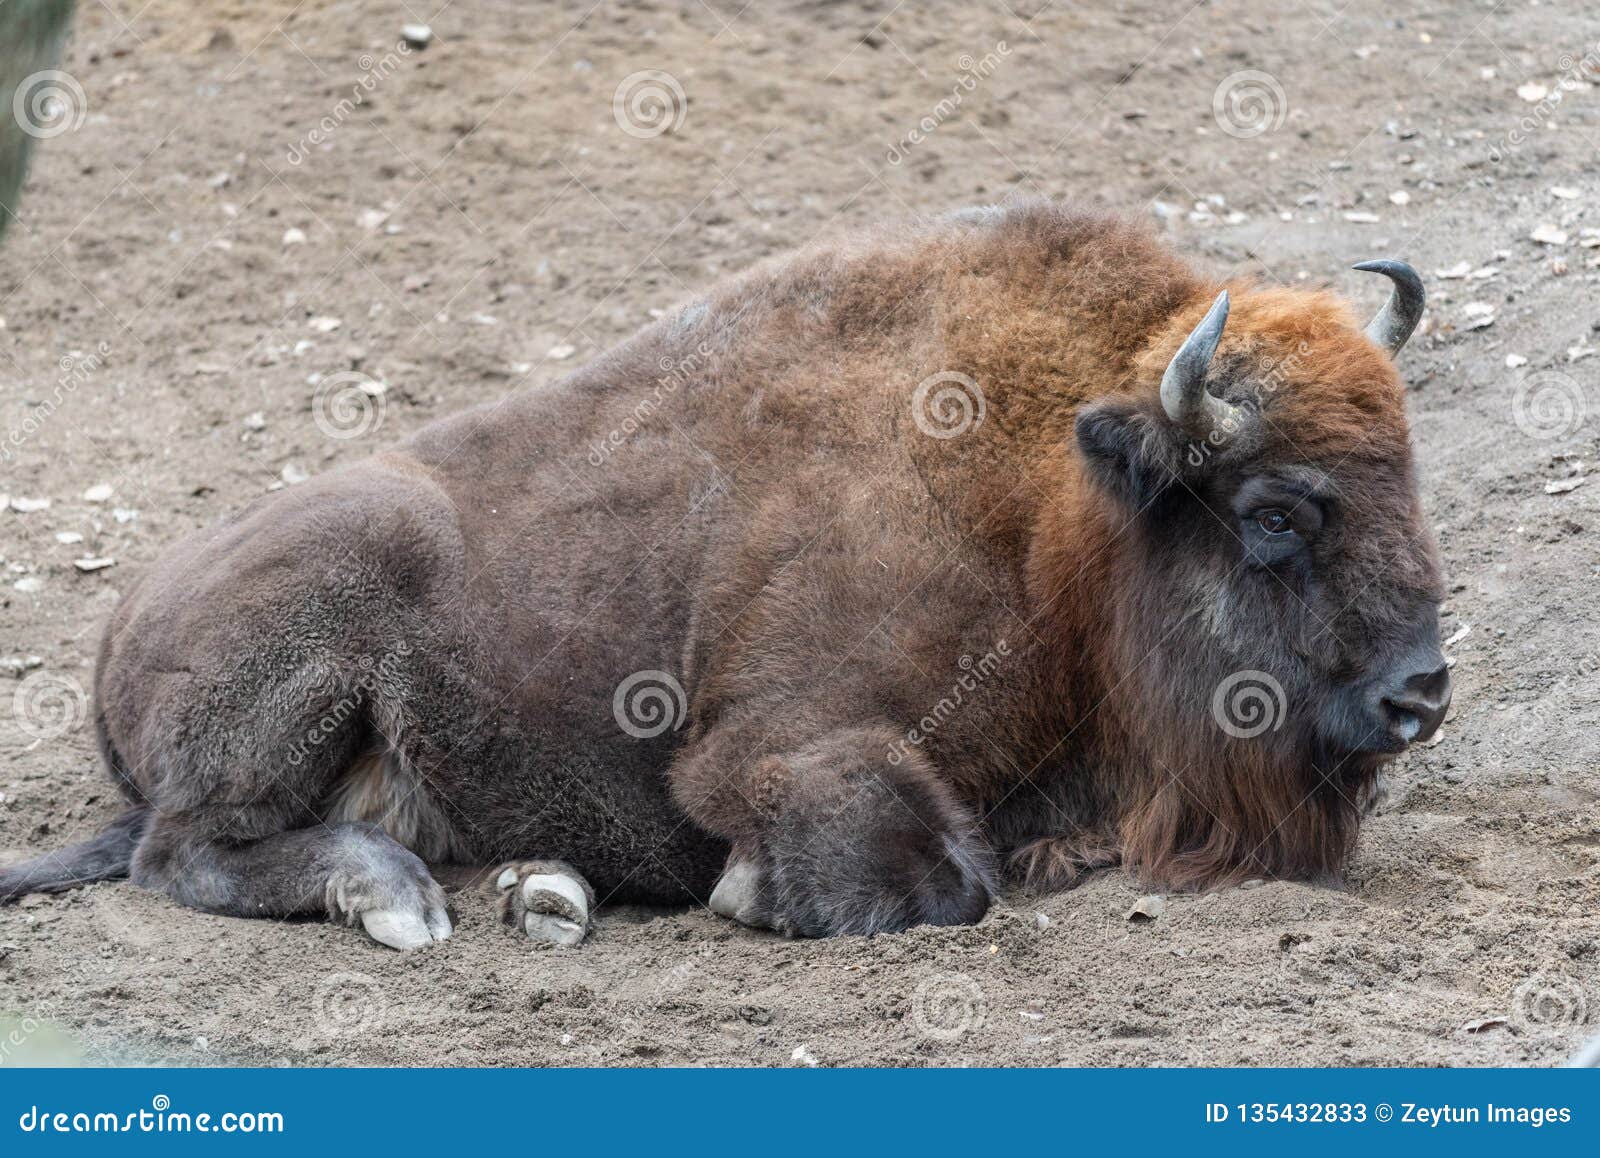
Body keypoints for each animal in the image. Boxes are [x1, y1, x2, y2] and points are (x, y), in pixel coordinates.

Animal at [1, 202, 1448, 945]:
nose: (1421, 694)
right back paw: (398, 899)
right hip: (316, 627)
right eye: (1274, 511)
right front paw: (754, 890)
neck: (1053, 504)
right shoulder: (773, 744)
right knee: (184, 851)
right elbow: (940, 874)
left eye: (1409, 473)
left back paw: (537, 887)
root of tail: (120, 628)